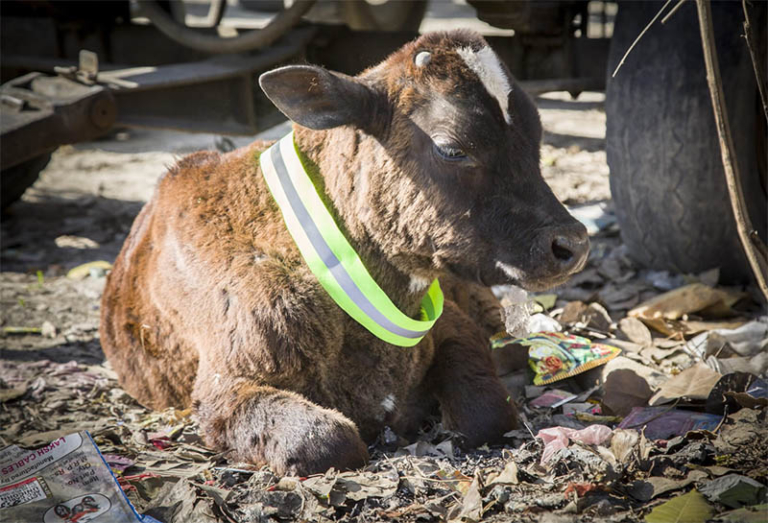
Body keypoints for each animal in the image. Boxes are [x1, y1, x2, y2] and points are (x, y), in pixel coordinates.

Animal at [100, 29, 589, 476]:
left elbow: (489, 412)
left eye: (536, 139)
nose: (573, 243)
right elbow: (327, 441)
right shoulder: (223, 386)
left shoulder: (452, 322)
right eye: (452, 148)